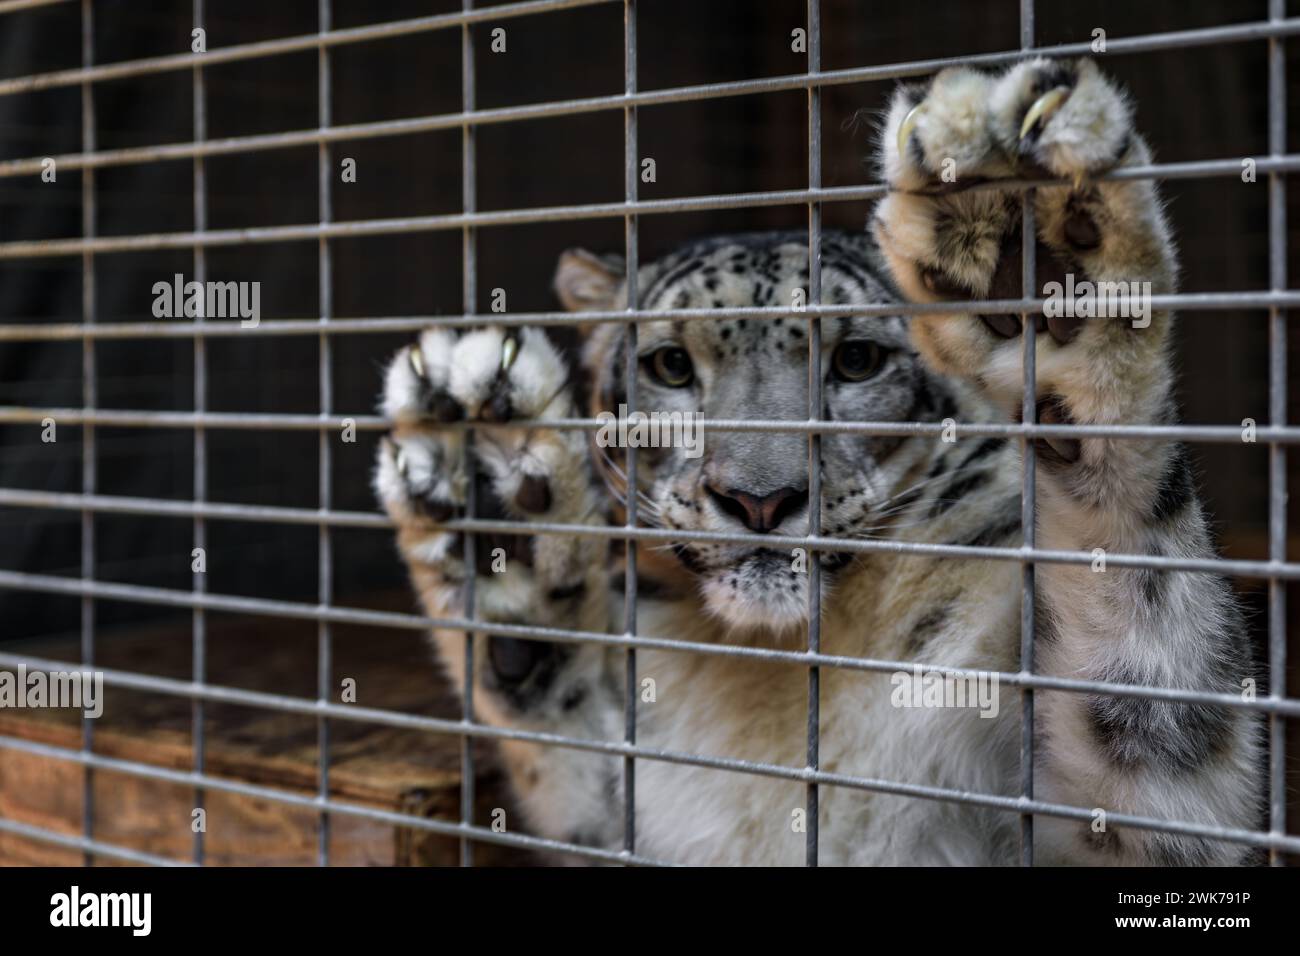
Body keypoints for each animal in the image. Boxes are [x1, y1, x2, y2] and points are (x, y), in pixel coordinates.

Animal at [373, 58, 1262, 865]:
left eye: (858, 359)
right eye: (670, 366)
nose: (761, 499)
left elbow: (1146, 685)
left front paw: (1039, 252)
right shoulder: (615, 810)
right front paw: (489, 487)